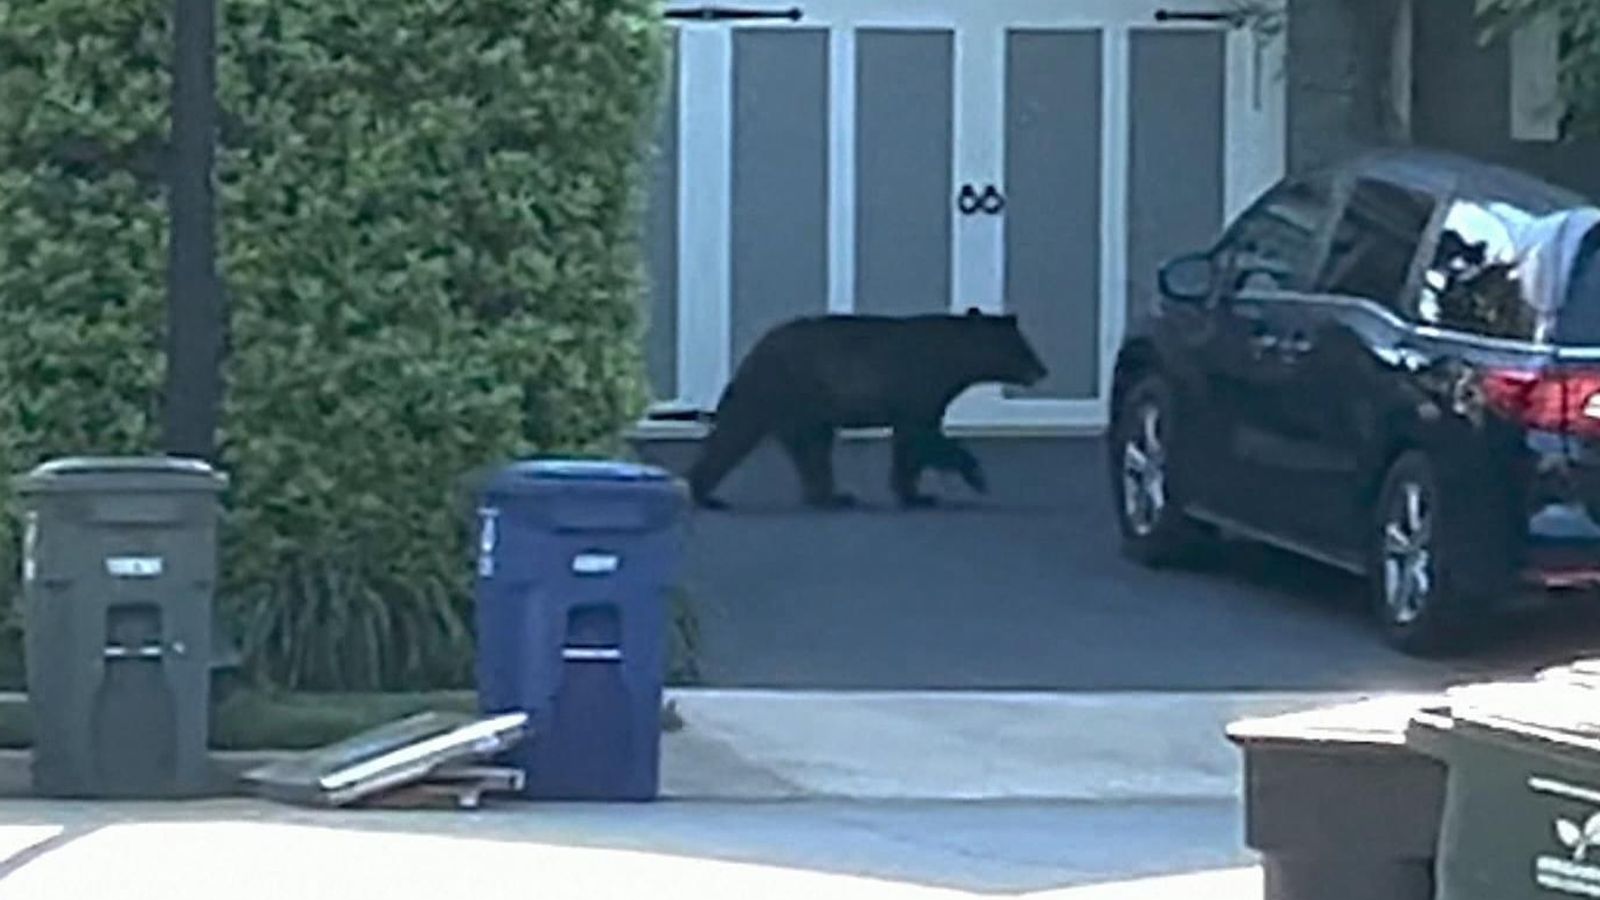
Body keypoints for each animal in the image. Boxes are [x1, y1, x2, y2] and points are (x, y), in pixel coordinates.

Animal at [656, 307, 1048, 510]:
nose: (1042, 369)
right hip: (779, 389)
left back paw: (832, 496)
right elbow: (921, 435)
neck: (953, 361)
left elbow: (913, 442)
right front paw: (971, 476)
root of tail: (753, 352)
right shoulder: (919, 384)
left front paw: (914, 491)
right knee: (737, 433)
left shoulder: (928, 394)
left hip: (803, 406)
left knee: (811, 450)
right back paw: (705, 494)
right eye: (1021, 348)